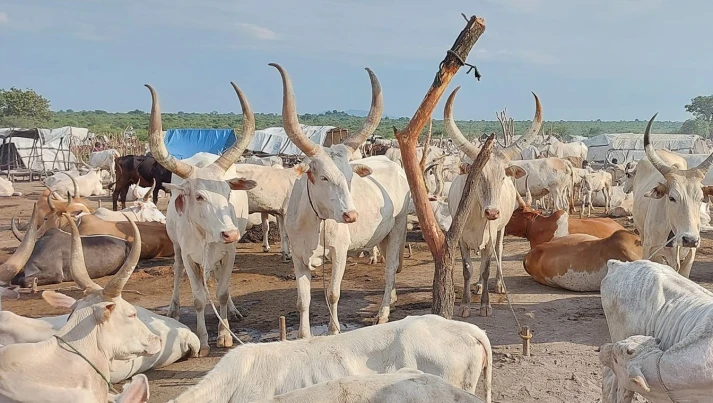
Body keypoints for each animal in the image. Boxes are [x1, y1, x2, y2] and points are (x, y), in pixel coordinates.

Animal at [146, 82, 257, 356]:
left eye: (228, 192)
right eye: (198, 196)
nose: (230, 233)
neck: (205, 233)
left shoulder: (229, 253)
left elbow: (222, 291)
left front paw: (225, 335)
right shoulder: (189, 256)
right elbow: (198, 298)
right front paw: (204, 340)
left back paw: (232, 310)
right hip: (177, 247)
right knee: (177, 272)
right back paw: (173, 307)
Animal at [270, 63, 410, 338]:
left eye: (349, 176)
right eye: (324, 177)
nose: (351, 216)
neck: (316, 221)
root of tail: (392, 163)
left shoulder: (340, 253)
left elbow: (333, 293)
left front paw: (334, 330)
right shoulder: (299, 257)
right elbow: (302, 300)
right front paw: (303, 335)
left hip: (398, 227)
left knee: (390, 269)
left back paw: (383, 313)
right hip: (385, 235)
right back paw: (393, 298)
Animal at [444, 86, 542, 318]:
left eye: (503, 176)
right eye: (478, 176)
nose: (492, 213)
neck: (476, 215)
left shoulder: (490, 235)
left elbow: (487, 266)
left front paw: (485, 305)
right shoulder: (460, 239)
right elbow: (468, 269)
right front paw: (465, 304)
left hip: (501, 230)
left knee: (497, 253)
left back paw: (498, 284)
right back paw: (479, 286)